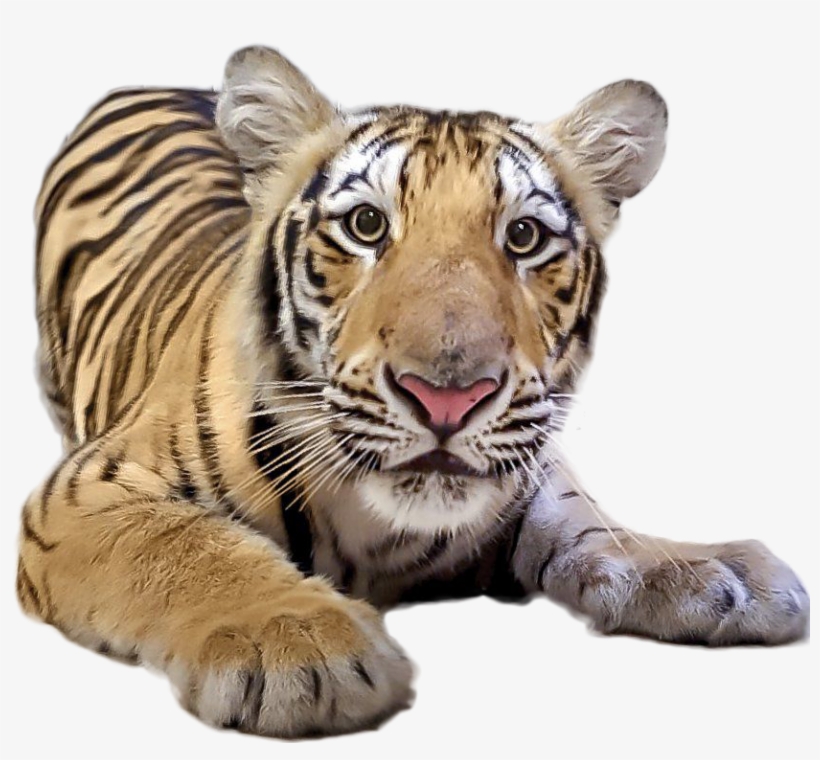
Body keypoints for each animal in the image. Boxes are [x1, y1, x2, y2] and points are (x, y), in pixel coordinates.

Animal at [18, 46, 809, 738]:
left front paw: (709, 569)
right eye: (366, 225)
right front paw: (295, 641)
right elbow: (186, 543)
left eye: (524, 237)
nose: (447, 397)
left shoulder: (530, 463)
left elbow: (586, 521)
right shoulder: (84, 492)